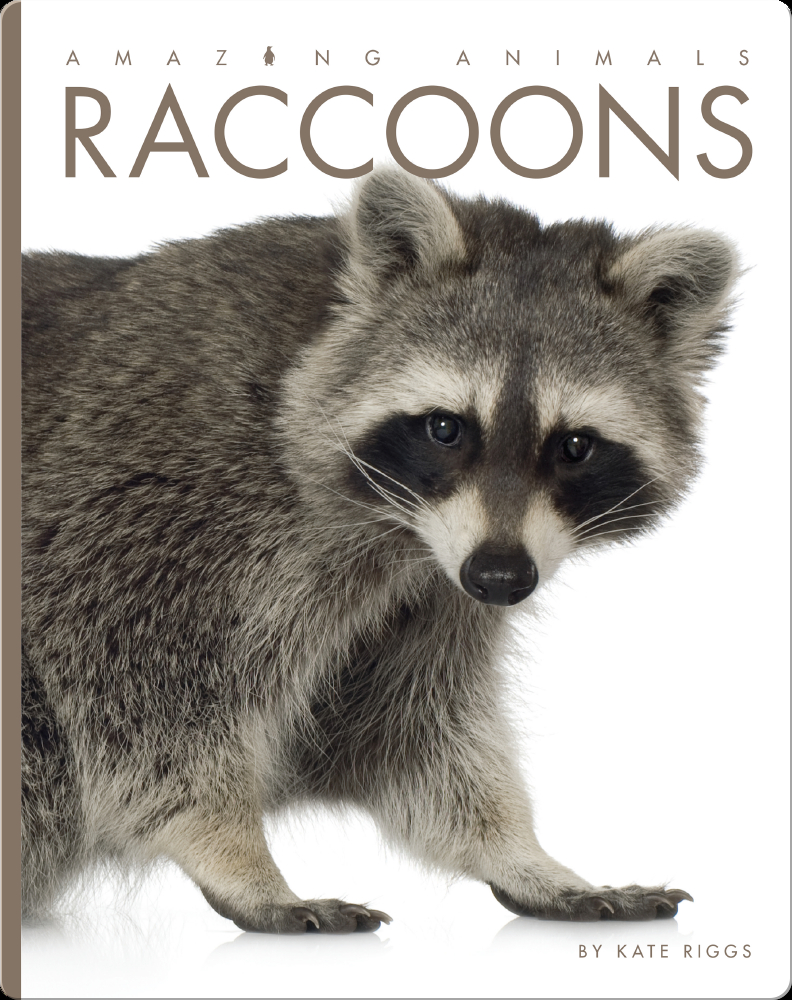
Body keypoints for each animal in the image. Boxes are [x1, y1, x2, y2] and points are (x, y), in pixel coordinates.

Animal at [21, 168, 738, 931]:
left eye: (575, 446)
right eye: (446, 428)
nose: (501, 577)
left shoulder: (435, 589)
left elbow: (415, 731)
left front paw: (517, 852)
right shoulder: (152, 500)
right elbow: (138, 691)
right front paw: (234, 851)